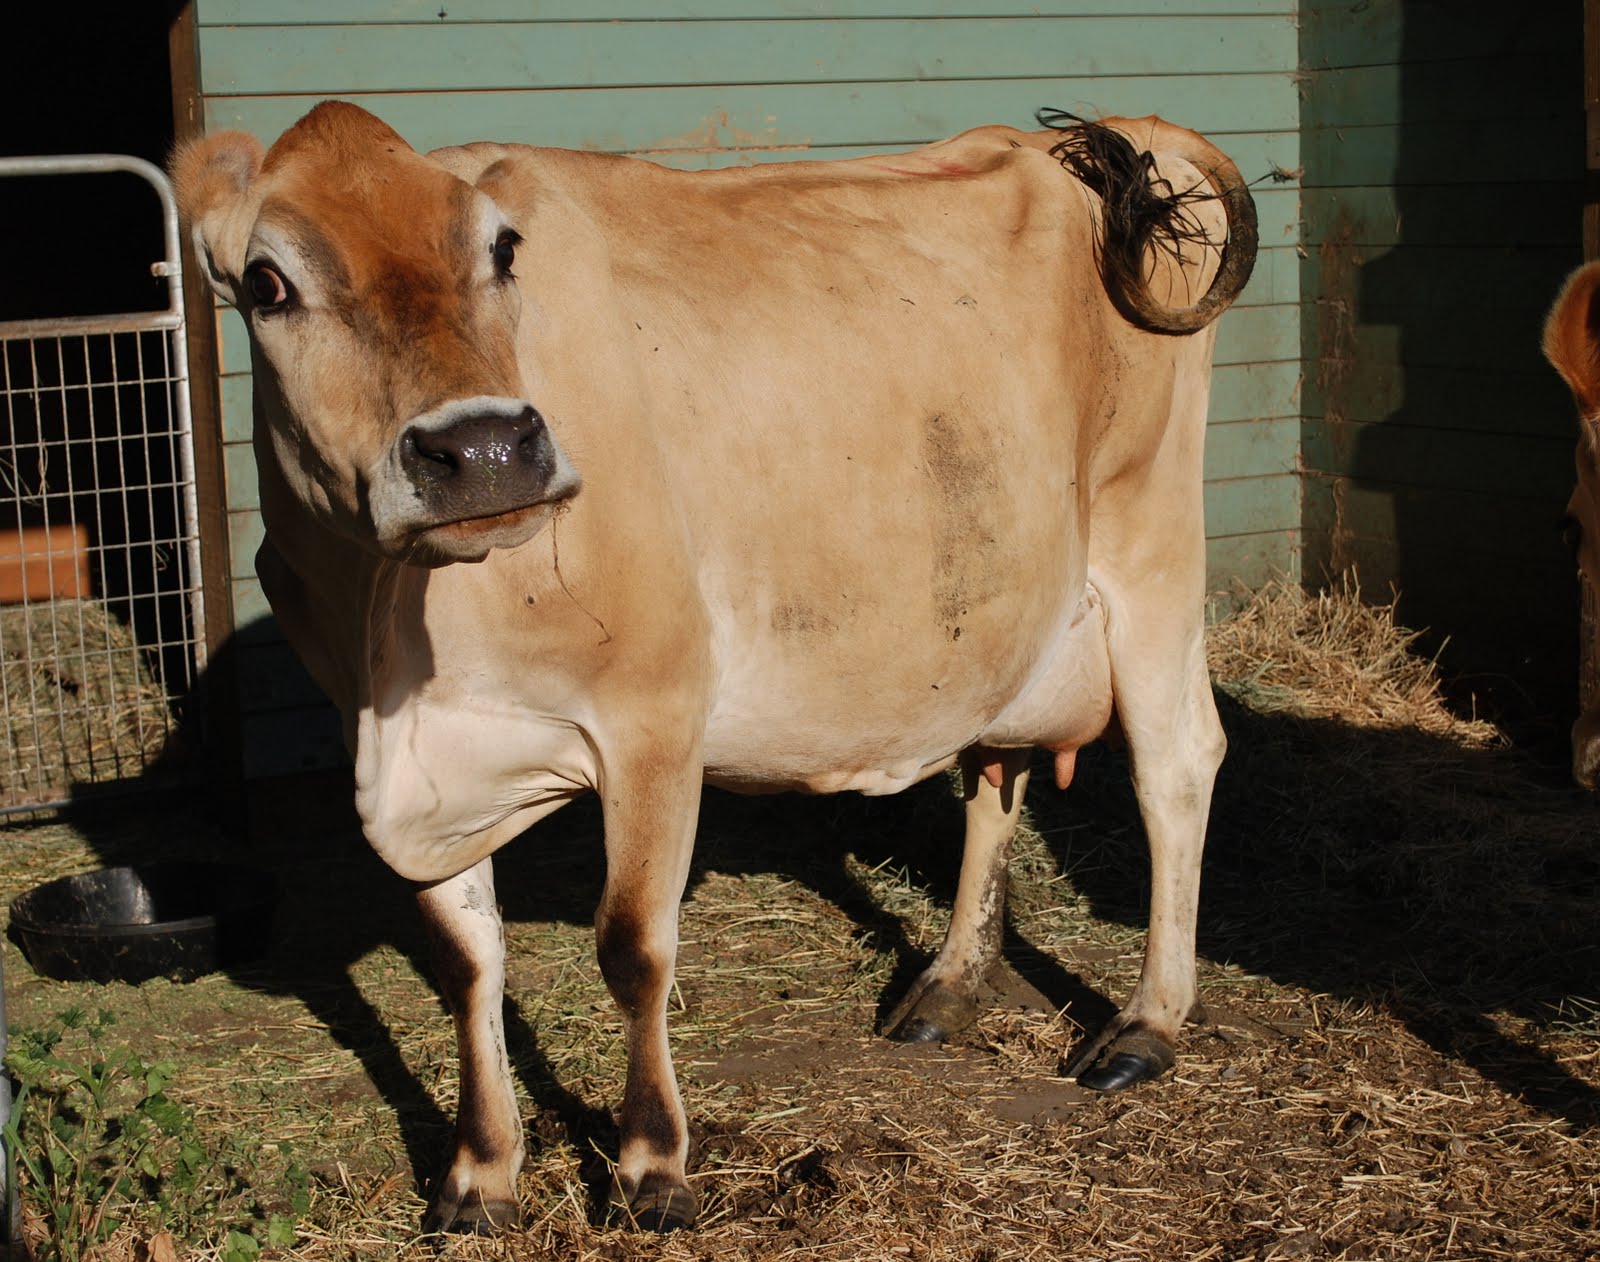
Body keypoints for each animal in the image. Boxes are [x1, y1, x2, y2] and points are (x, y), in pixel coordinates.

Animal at [173, 100, 1257, 1234]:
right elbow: (466, 961)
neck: (402, 645)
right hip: (1002, 599)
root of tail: (1076, 136)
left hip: (1151, 547)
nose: (481, 450)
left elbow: (633, 946)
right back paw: (951, 984)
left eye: (503, 248)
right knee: (994, 766)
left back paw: (1147, 1023)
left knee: (1177, 764)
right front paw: (479, 1173)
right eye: (265, 283)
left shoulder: (653, 713)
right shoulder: (403, 748)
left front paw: (652, 1166)